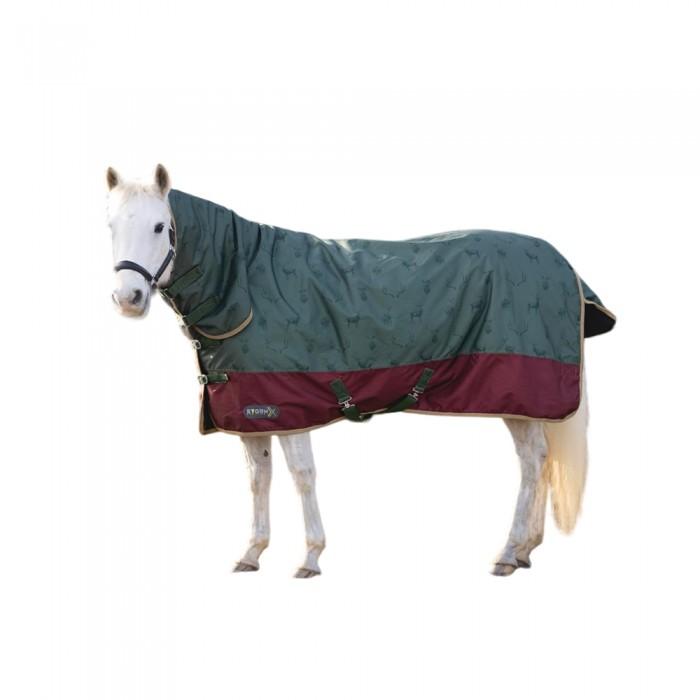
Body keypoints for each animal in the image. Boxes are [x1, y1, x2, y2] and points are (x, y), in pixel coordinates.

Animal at [106, 164, 615, 577]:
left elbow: (301, 475)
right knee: (539, 460)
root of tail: (564, 265)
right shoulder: (253, 411)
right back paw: (525, 550)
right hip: (524, 402)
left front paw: (310, 557)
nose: (128, 299)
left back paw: (508, 552)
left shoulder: (290, 409)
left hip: (517, 392)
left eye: (160, 226)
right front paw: (252, 553)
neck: (245, 287)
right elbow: (258, 480)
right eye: (110, 226)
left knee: (531, 463)